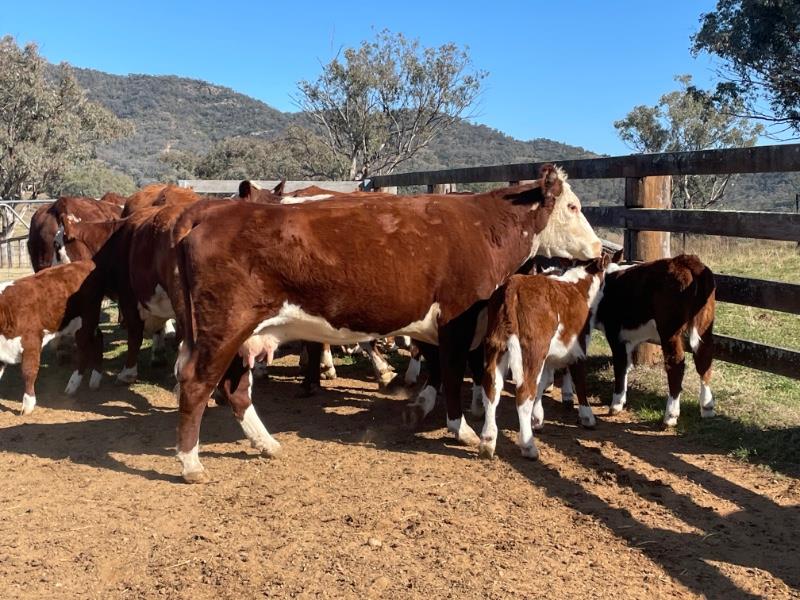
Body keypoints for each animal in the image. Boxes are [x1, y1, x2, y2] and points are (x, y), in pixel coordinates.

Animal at [0, 261, 104, 414]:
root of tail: (85, 263)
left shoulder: (31, 341)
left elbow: (29, 371)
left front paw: (28, 404)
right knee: (98, 339)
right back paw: (95, 379)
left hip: (86, 322)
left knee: (84, 351)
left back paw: (73, 385)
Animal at [477, 255, 610, 460]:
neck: (577, 288)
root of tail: (513, 285)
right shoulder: (579, 348)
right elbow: (580, 382)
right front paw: (588, 417)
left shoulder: (549, 357)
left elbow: (543, 382)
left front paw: (537, 419)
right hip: (533, 349)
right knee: (524, 392)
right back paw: (528, 446)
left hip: (496, 345)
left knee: (492, 388)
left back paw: (487, 442)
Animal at [595, 254, 716, 427]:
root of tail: (684, 261)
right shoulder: (629, 338)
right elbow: (626, 366)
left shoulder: (615, 333)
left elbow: (620, 365)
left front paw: (616, 404)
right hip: (705, 323)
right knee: (704, 359)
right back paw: (707, 407)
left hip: (669, 330)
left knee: (676, 364)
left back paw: (670, 415)